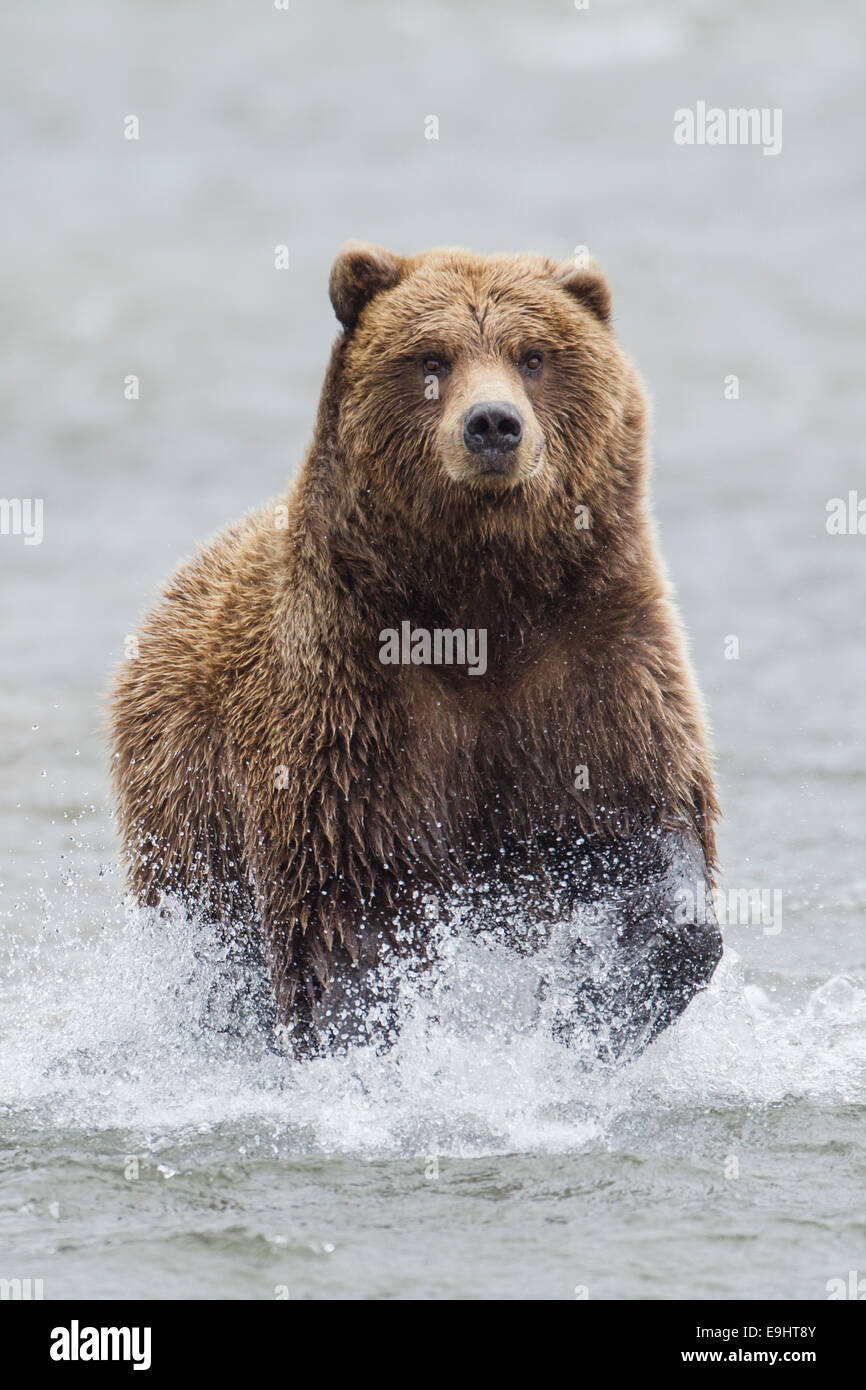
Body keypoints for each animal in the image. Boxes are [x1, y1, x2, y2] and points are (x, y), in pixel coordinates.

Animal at [109, 242, 722, 1058]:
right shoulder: (356, 696)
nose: (493, 425)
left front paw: (591, 1007)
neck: (482, 608)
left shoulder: (595, 660)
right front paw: (364, 1036)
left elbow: (645, 830)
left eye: (534, 356)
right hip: (187, 807)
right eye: (432, 358)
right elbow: (345, 898)